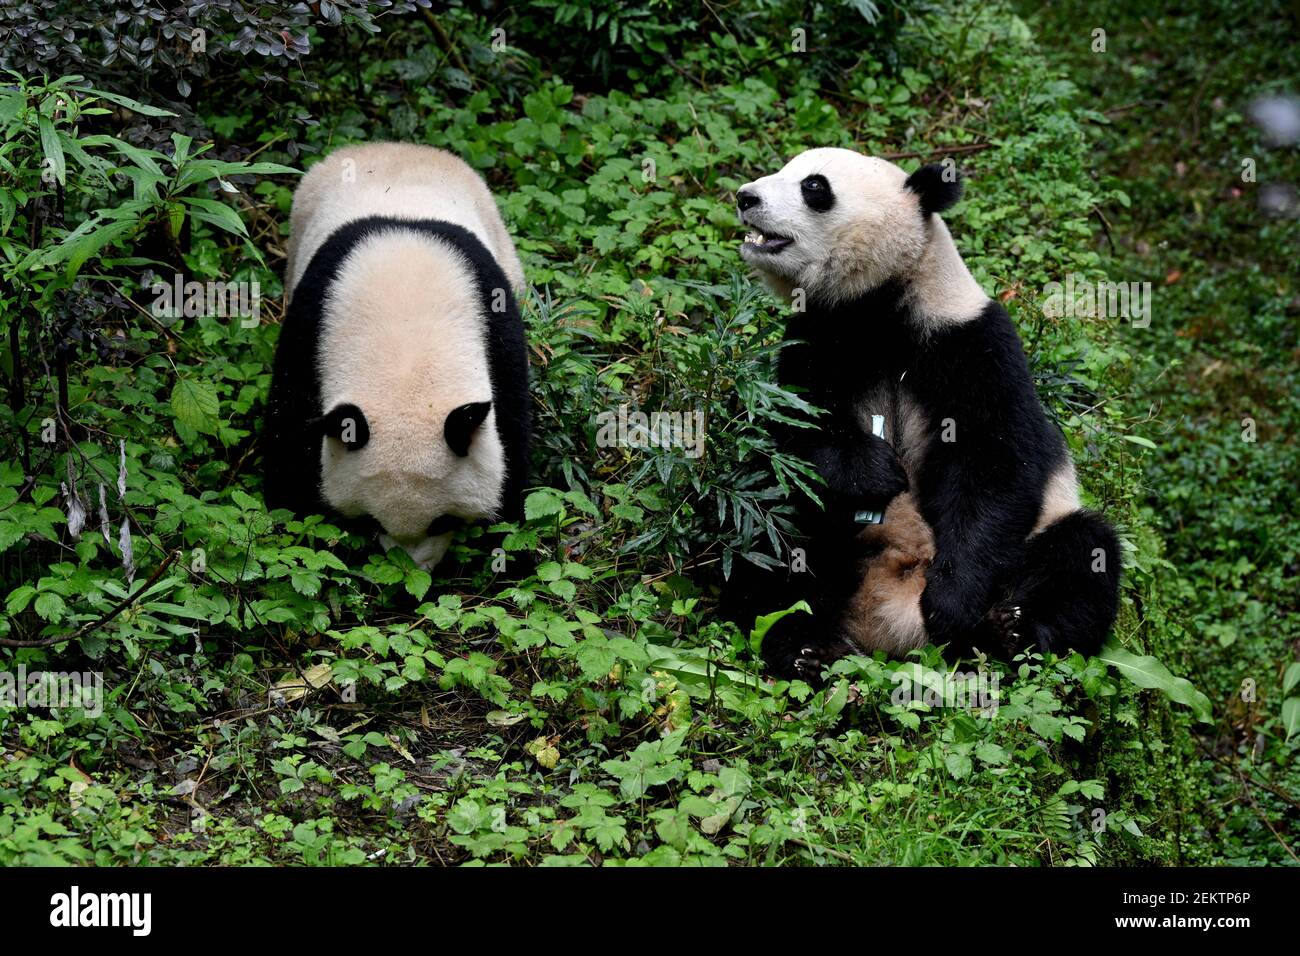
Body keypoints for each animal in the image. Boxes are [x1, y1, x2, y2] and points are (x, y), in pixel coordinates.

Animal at [263, 143, 530, 570]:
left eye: (443, 521)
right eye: (371, 520)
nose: (413, 574)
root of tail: (395, 147)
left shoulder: (497, 326)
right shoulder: (309, 328)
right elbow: (288, 437)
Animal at [723, 147, 1121, 679]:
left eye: (814, 186)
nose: (746, 197)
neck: (878, 306)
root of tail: (889, 627)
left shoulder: (971, 342)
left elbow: (994, 463)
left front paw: (951, 603)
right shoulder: (813, 340)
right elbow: (794, 433)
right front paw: (869, 470)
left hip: (1037, 542)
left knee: (1084, 553)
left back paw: (1011, 632)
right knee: (768, 521)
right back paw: (803, 644)